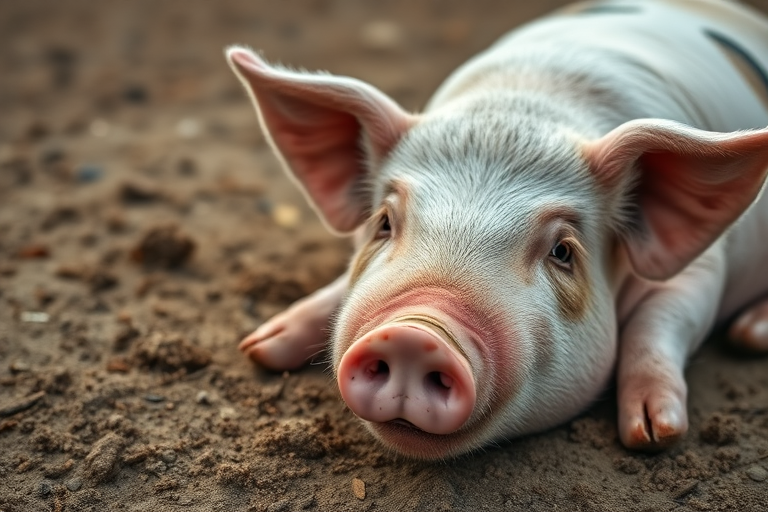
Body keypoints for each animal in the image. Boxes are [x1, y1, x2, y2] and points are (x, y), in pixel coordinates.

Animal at [226, 0, 768, 459]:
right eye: (383, 222)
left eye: (562, 251)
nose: (413, 333)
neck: (527, 100)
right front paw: (260, 347)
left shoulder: (703, 266)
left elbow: (659, 327)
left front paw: (655, 433)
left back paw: (750, 334)